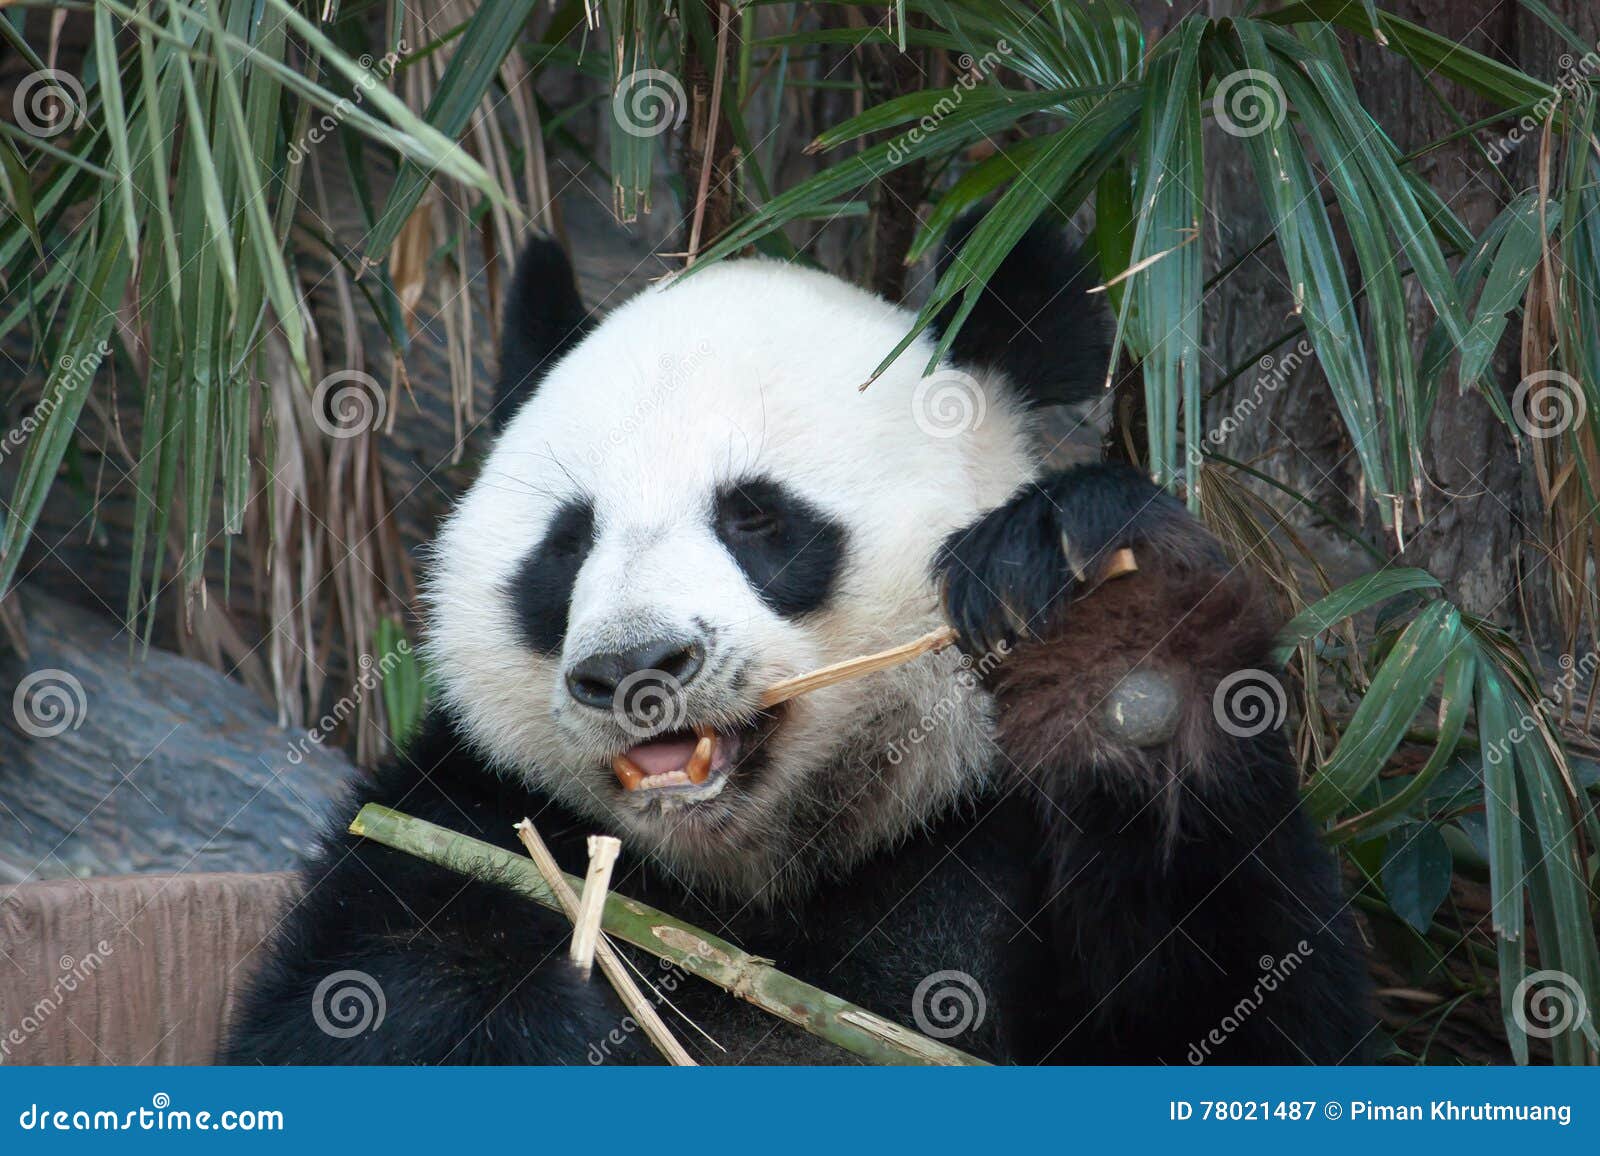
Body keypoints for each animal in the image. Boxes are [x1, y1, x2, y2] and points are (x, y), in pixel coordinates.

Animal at [224, 223, 1372, 1065]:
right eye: (567, 542)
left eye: (757, 519)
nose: (633, 667)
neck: (756, 888)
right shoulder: (447, 819)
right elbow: (363, 1007)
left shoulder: (991, 837)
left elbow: (1238, 1016)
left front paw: (1105, 629)